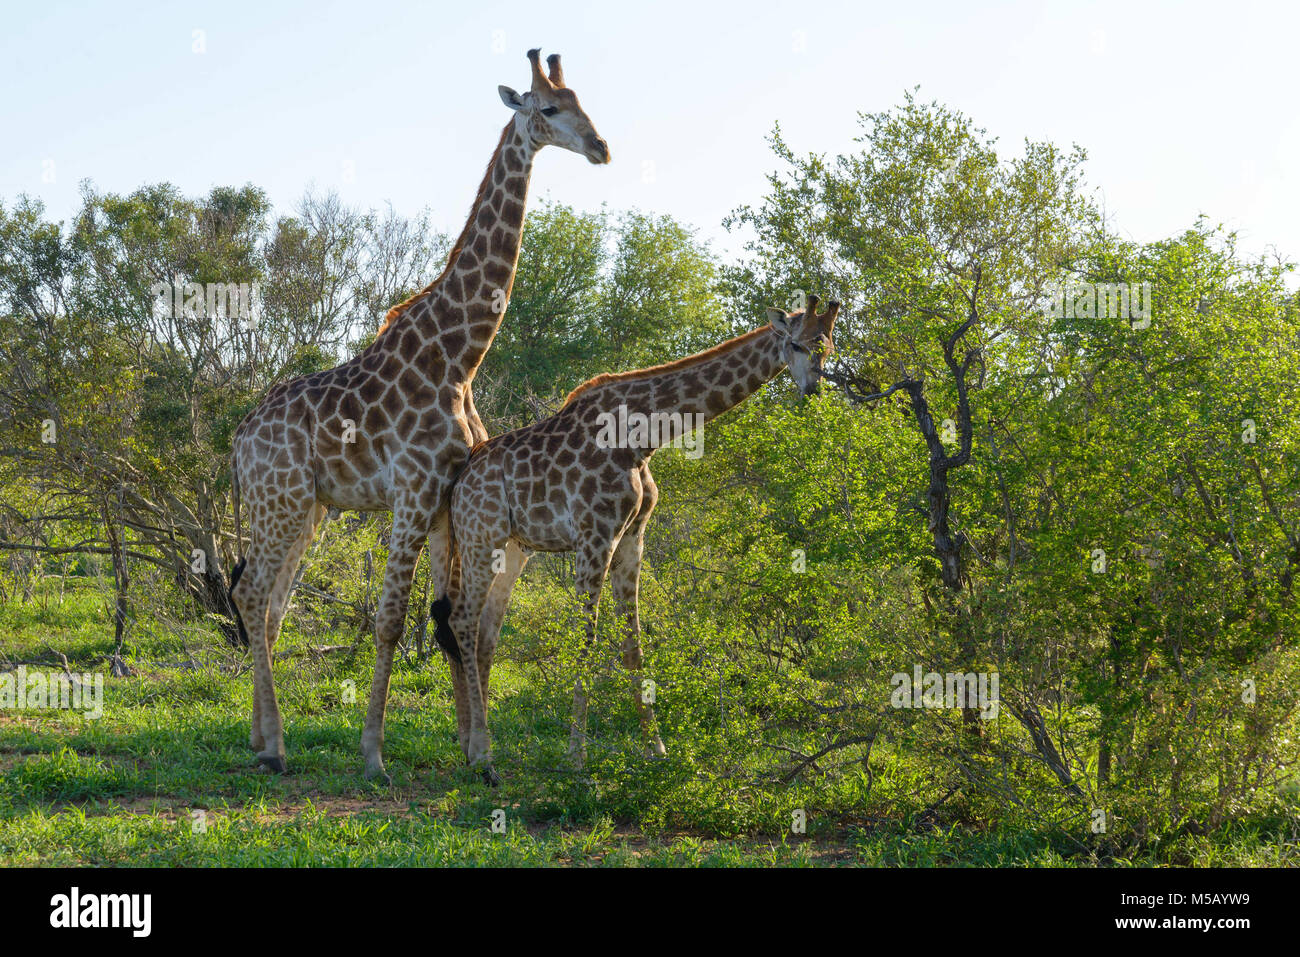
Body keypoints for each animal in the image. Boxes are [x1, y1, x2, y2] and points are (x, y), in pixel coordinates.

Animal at [228, 49, 610, 782]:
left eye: (587, 103)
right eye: (550, 108)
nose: (602, 147)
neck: (459, 356)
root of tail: (238, 440)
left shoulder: (443, 499)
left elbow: (447, 615)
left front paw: (471, 745)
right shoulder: (411, 492)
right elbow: (393, 618)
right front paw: (375, 754)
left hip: (306, 508)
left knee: (268, 603)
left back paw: (262, 739)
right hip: (278, 501)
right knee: (254, 596)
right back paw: (278, 744)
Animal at [444, 295, 841, 776]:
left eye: (828, 347)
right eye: (797, 345)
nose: (814, 392)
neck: (643, 438)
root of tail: (457, 485)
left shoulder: (632, 538)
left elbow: (633, 645)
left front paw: (656, 748)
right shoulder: (595, 535)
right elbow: (586, 642)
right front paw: (576, 755)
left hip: (515, 549)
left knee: (486, 631)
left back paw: (475, 745)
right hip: (481, 538)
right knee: (463, 620)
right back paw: (482, 753)